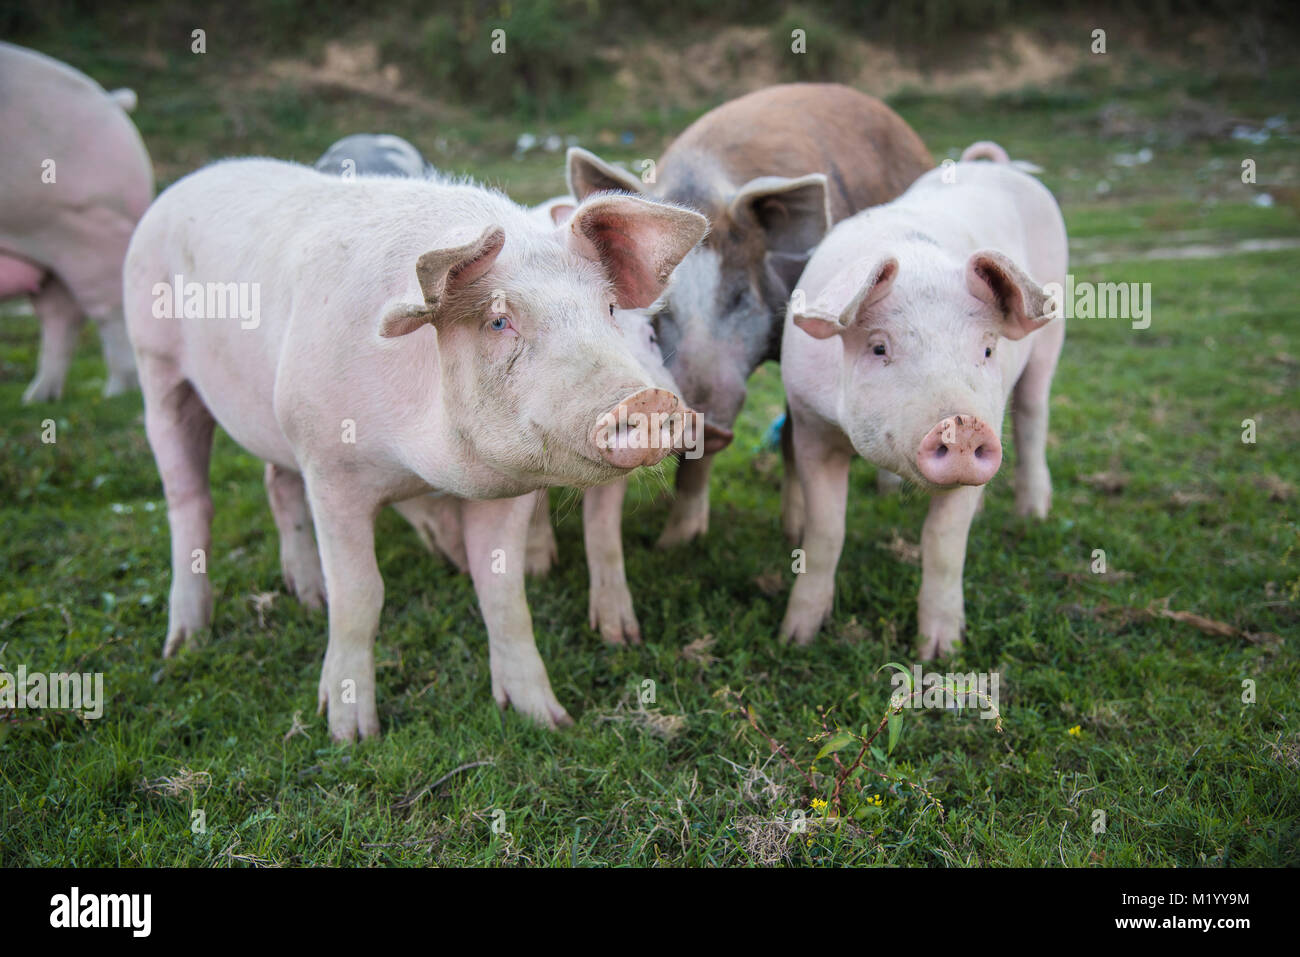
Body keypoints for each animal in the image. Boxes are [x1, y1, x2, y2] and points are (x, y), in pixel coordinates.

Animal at [0, 42, 153, 402]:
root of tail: (109, 100)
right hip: (53, 254)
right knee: (61, 317)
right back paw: (35, 399)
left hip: (88, 230)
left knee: (106, 313)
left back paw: (114, 393)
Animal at [123, 158, 706, 740]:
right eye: (498, 320)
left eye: (607, 309)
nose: (648, 397)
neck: (420, 466)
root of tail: (182, 187)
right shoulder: (330, 468)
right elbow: (360, 594)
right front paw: (351, 734)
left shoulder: (506, 491)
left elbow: (504, 594)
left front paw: (548, 720)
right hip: (157, 368)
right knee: (189, 501)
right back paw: (184, 642)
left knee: (276, 482)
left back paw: (307, 600)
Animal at [567, 83, 933, 548]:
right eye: (659, 310)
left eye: (741, 295)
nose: (703, 424)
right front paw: (675, 542)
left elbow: (793, 441)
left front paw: (794, 535)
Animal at [779, 142, 1067, 658]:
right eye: (879, 347)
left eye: (987, 350)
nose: (964, 424)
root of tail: (998, 166)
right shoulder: (811, 423)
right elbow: (827, 531)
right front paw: (795, 639)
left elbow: (944, 541)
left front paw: (941, 652)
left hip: (1051, 337)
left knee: (1034, 417)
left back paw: (1033, 514)